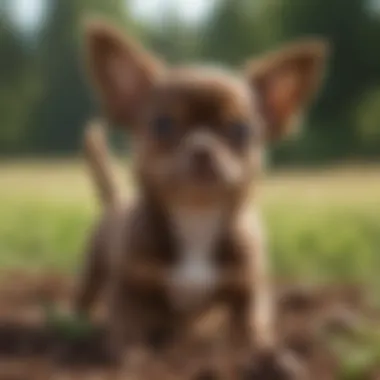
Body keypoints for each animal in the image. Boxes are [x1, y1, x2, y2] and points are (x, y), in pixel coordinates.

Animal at [75, 17, 328, 378]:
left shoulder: (245, 289)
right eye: (163, 125)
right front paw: (134, 359)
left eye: (241, 130)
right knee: (86, 299)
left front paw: (269, 358)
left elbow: (254, 330)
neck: (196, 217)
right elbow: (127, 328)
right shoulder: (129, 286)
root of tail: (115, 201)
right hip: (93, 271)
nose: (203, 147)